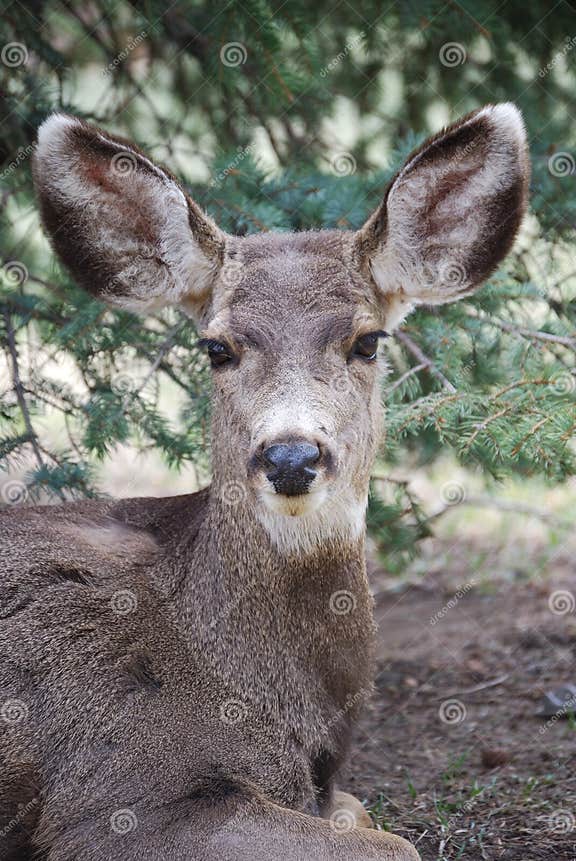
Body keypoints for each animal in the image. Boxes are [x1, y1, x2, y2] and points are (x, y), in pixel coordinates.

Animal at [0, 103, 528, 860]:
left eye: (369, 341)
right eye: (217, 347)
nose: (290, 457)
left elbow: (368, 818)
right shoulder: (111, 800)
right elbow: (397, 845)